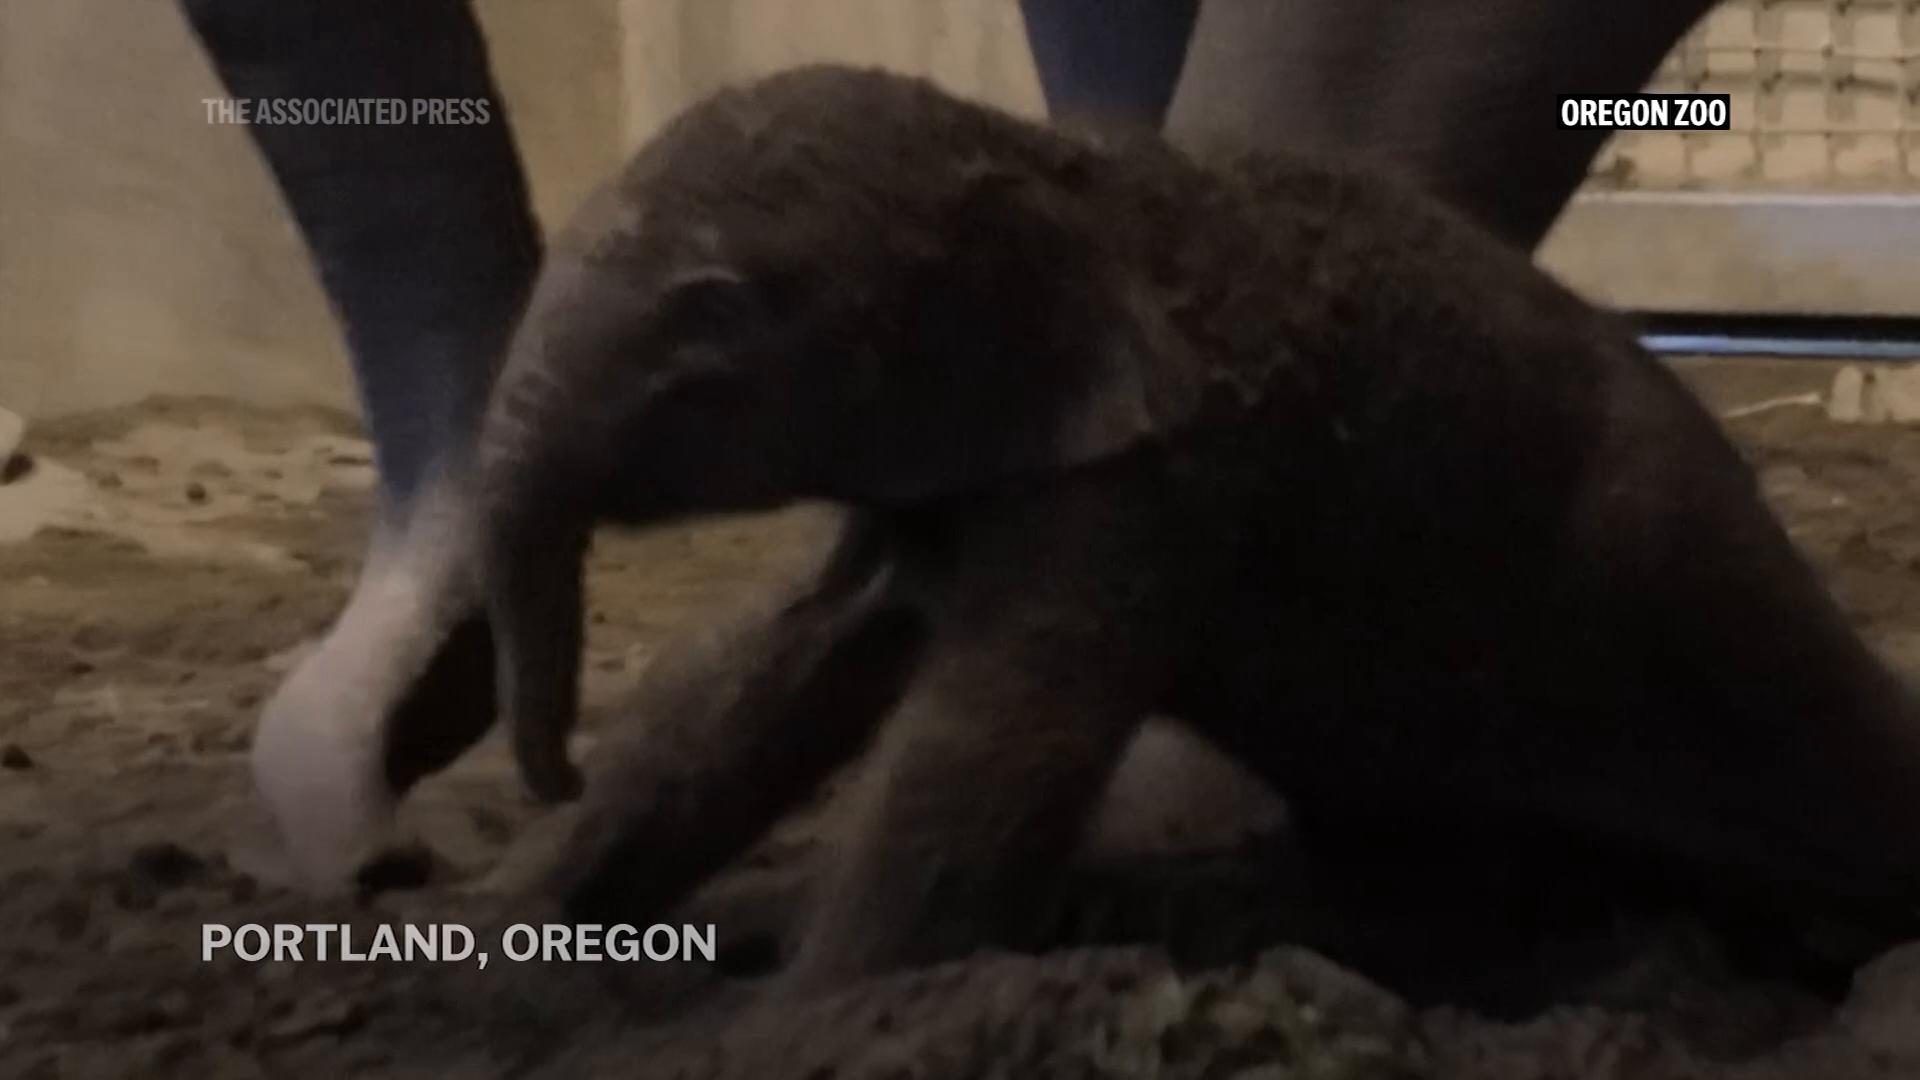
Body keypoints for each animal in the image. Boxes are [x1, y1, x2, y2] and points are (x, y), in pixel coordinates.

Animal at [447, 65, 1920, 992]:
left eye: (711, 325)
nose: (547, 771)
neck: (1047, 165)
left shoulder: (1164, 483)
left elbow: (989, 750)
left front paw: (802, 1019)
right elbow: (759, 674)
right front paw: (491, 947)